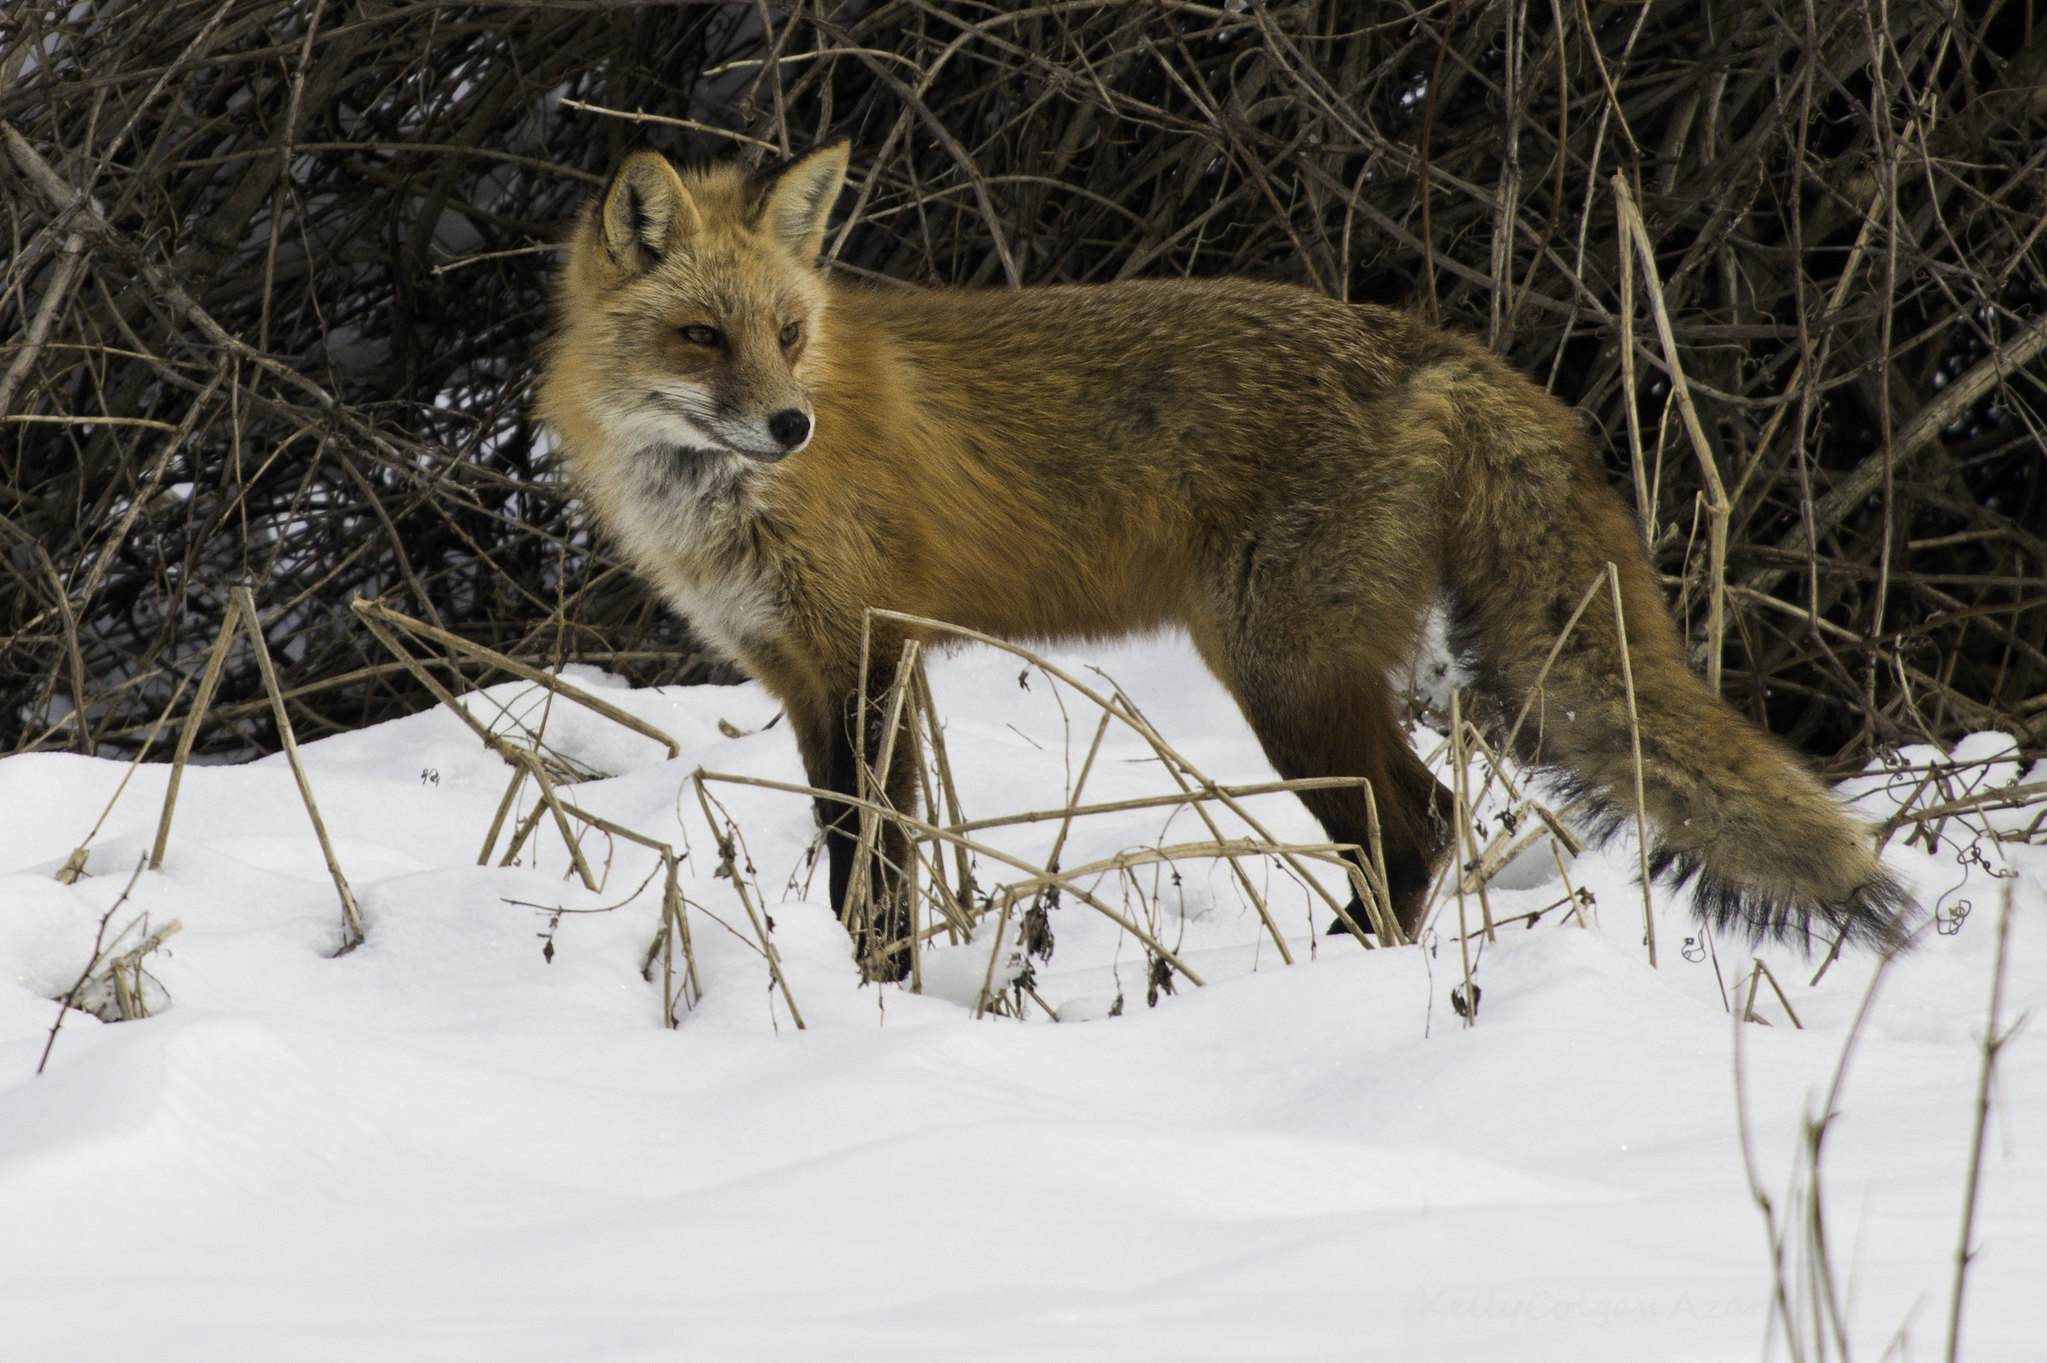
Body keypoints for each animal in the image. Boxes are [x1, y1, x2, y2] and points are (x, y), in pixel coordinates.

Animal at [538, 141, 1910, 980]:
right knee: (1422, 824)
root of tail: (1427, 344)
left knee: (1419, 822)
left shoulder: (868, 652)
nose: (792, 425)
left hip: (1283, 676)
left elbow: (873, 873)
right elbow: (859, 861)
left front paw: (878, 1003)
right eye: (702, 336)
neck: (715, 506)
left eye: (786, 332)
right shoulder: (808, 673)